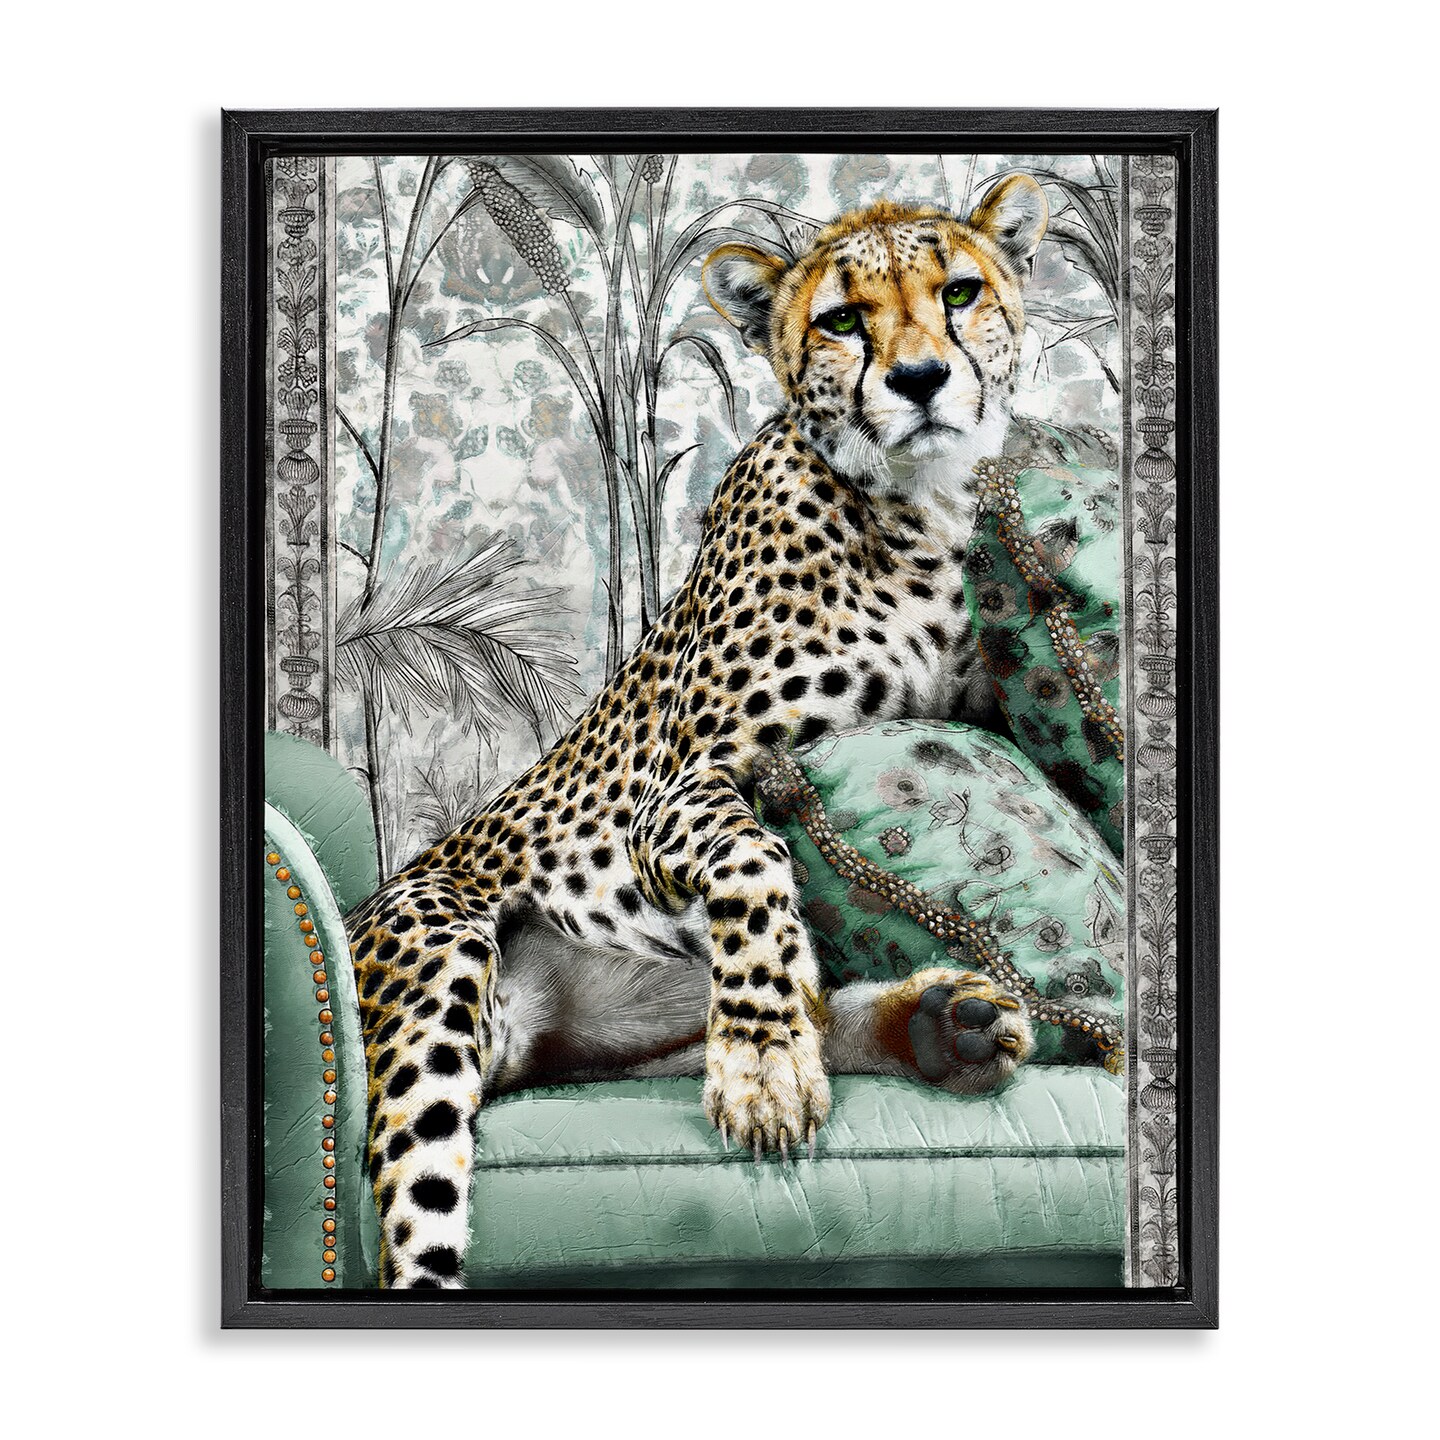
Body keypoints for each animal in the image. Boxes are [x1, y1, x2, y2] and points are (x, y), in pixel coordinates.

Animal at [346, 174, 1052, 1288]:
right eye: (842, 321)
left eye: (960, 292)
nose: (922, 378)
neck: (913, 511)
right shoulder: (684, 790)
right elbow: (759, 863)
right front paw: (763, 1072)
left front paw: (773, 1061)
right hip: (442, 967)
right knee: (420, 1217)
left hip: (618, 1023)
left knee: (772, 1010)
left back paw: (945, 1028)